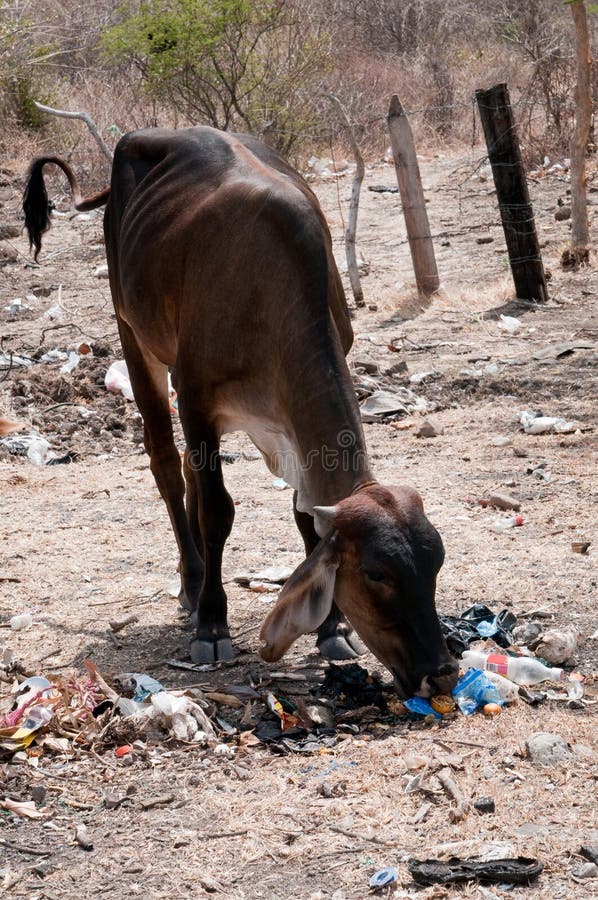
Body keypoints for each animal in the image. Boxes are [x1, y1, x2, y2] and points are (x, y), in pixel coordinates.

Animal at [23, 127, 458, 698]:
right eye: (376, 574)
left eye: (437, 564)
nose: (442, 673)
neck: (269, 287)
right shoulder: (197, 397)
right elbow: (217, 512)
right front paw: (212, 624)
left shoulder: (287, 424)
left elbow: (304, 513)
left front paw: (332, 629)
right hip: (134, 333)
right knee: (167, 464)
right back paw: (192, 584)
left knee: (187, 471)